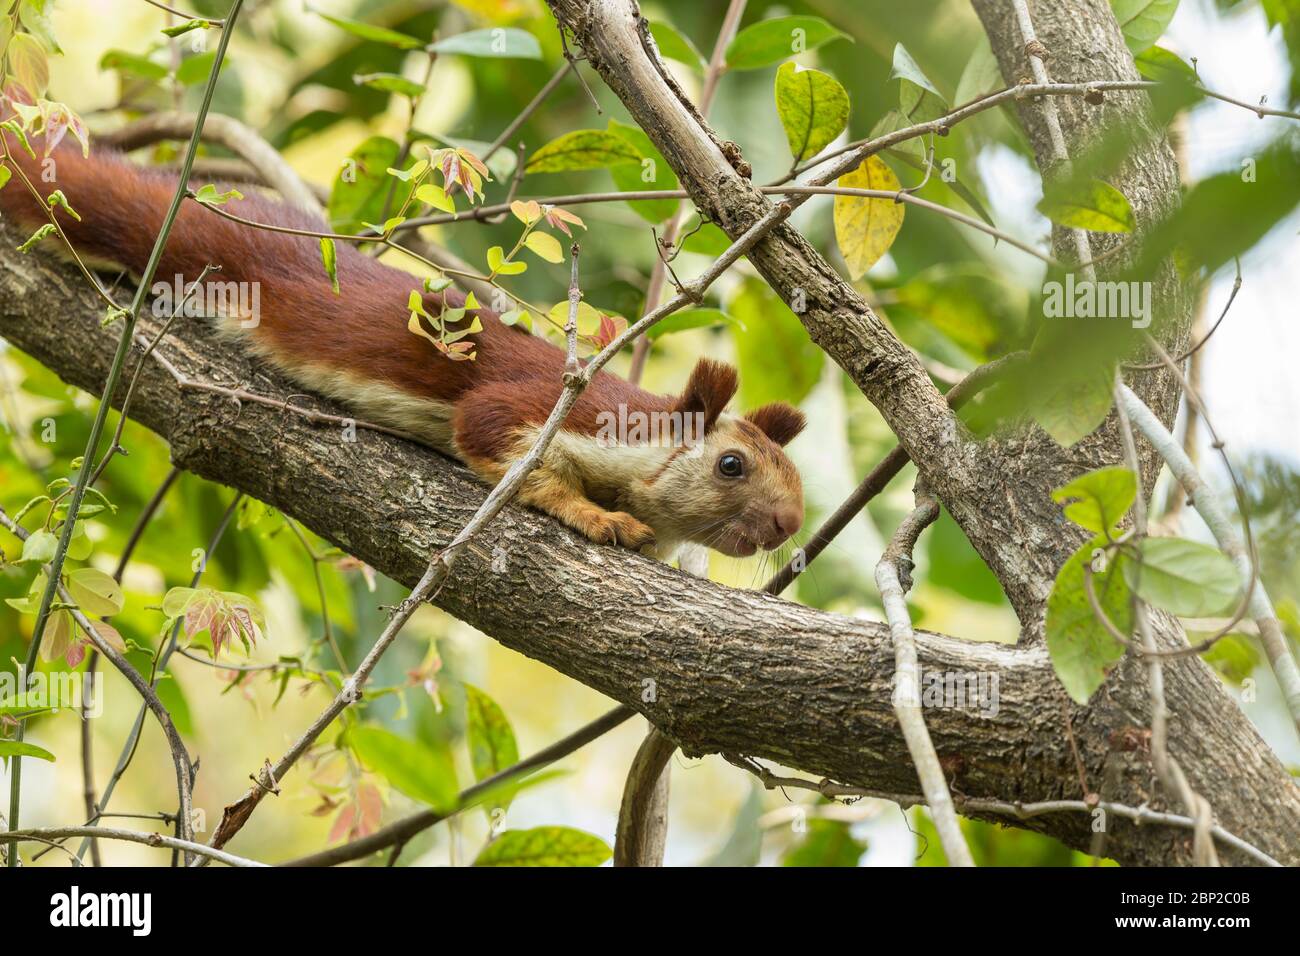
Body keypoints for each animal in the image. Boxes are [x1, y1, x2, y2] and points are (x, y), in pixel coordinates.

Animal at [0, 135, 806, 559]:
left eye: (794, 477)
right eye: (730, 465)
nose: (790, 525)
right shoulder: (554, 409)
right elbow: (497, 436)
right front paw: (598, 516)